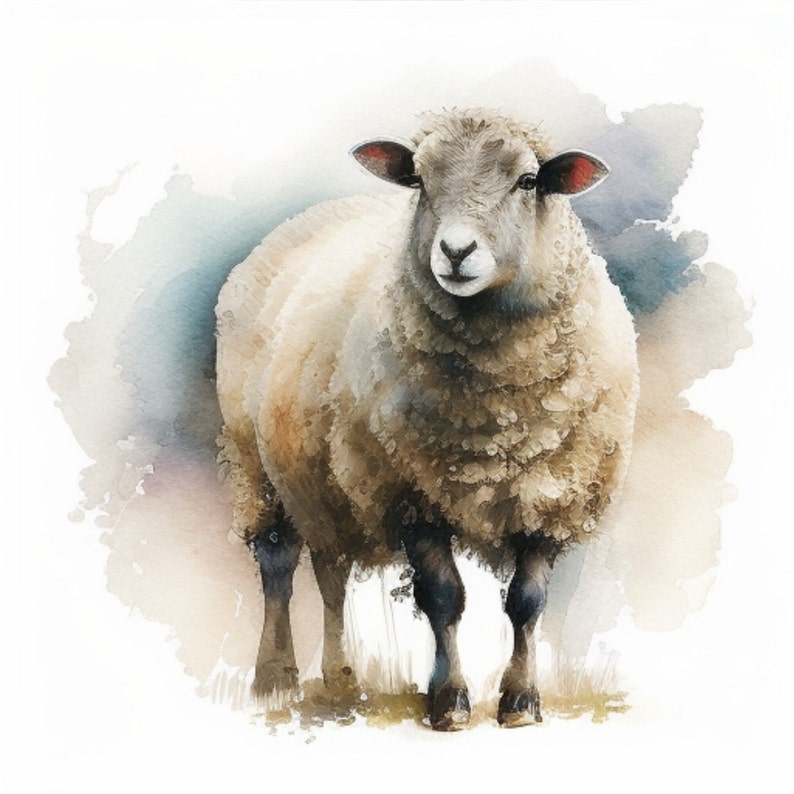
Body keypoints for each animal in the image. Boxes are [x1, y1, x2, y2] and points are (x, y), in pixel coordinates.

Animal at [214, 109, 639, 730]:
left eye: (528, 180)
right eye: (418, 178)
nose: (457, 251)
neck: (496, 416)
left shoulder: (550, 491)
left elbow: (526, 603)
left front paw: (521, 701)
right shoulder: (408, 492)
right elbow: (443, 597)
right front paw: (450, 701)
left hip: (324, 477)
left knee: (331, 572)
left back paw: (340, 678)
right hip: (256, 464)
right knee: (277, 563)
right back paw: (276, 678)